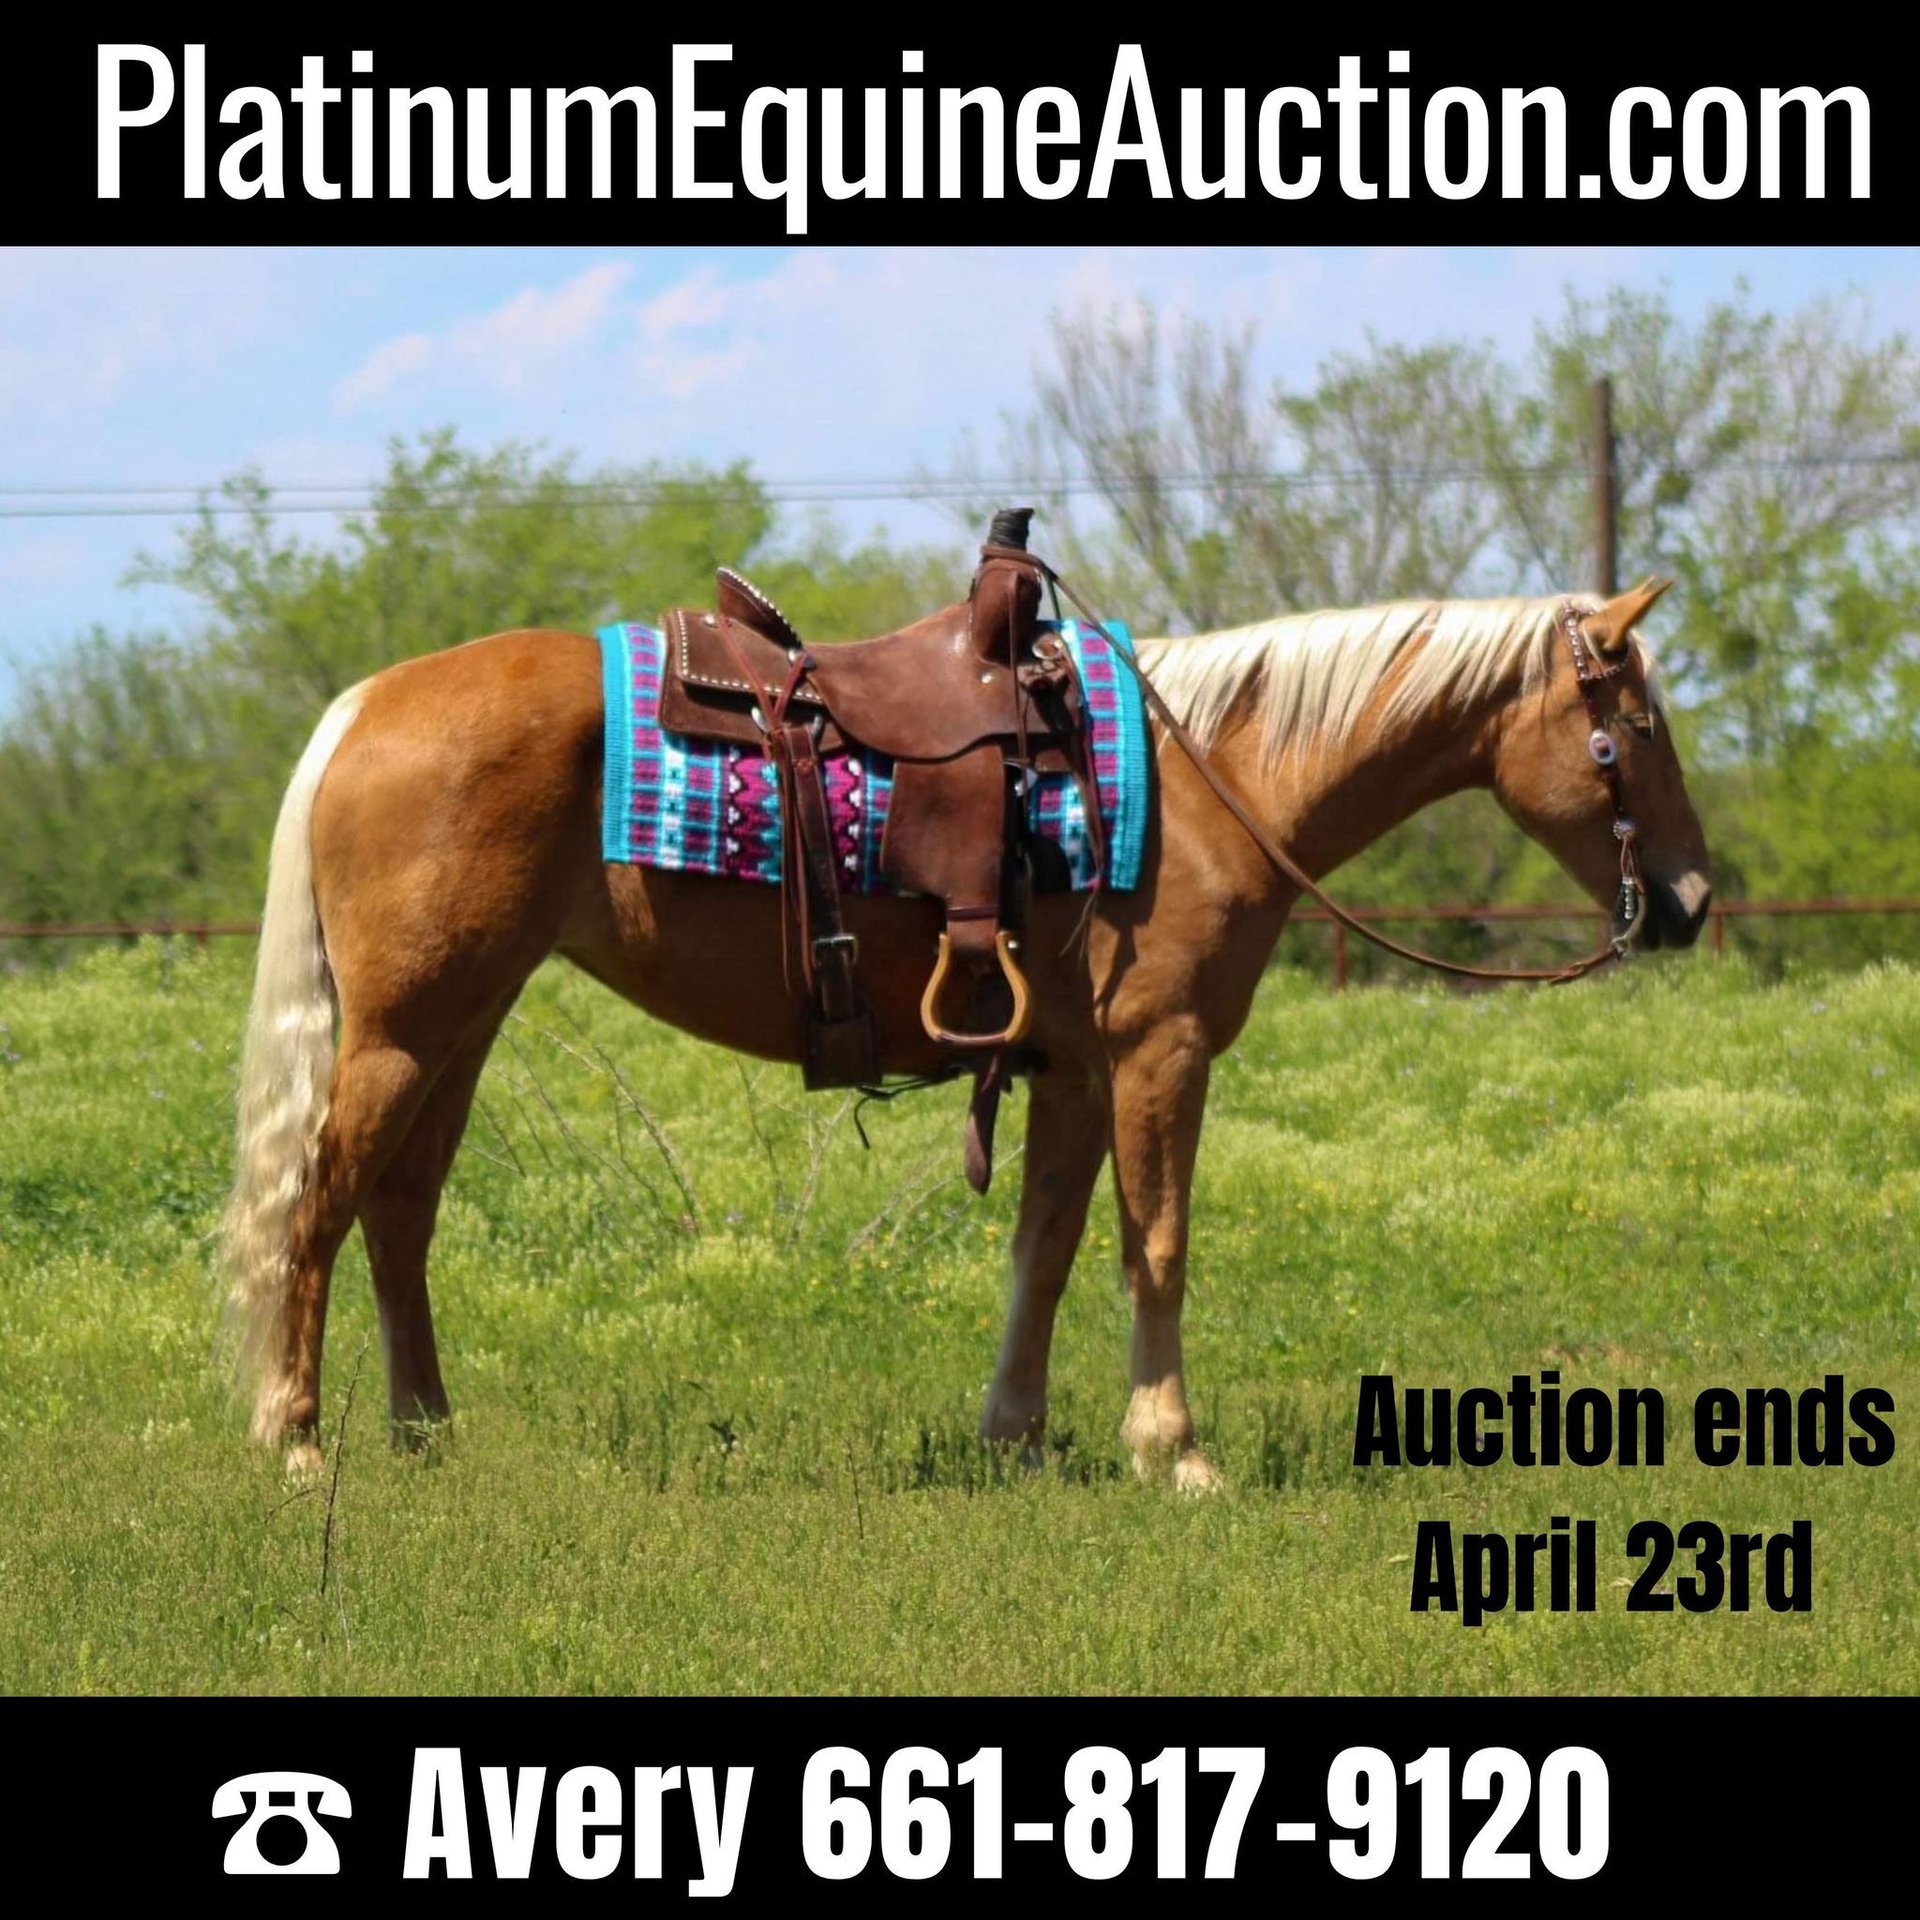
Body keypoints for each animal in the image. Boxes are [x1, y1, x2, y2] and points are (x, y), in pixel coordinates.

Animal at [224, 577, 1711, 1490]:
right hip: (408, 1030)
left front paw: (1020, 1439)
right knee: (320, 1203)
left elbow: (1044, 1252)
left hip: (459, 1024)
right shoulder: (1161, 1055)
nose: (1691, 903)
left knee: (398, 1213)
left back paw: (425, 1433)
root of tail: (366, 706)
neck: (1214, 780)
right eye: (1636, 725)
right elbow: (1156, 1247)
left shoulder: (1072, 1074)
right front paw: (1174, 1451)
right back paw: (293, 1442)